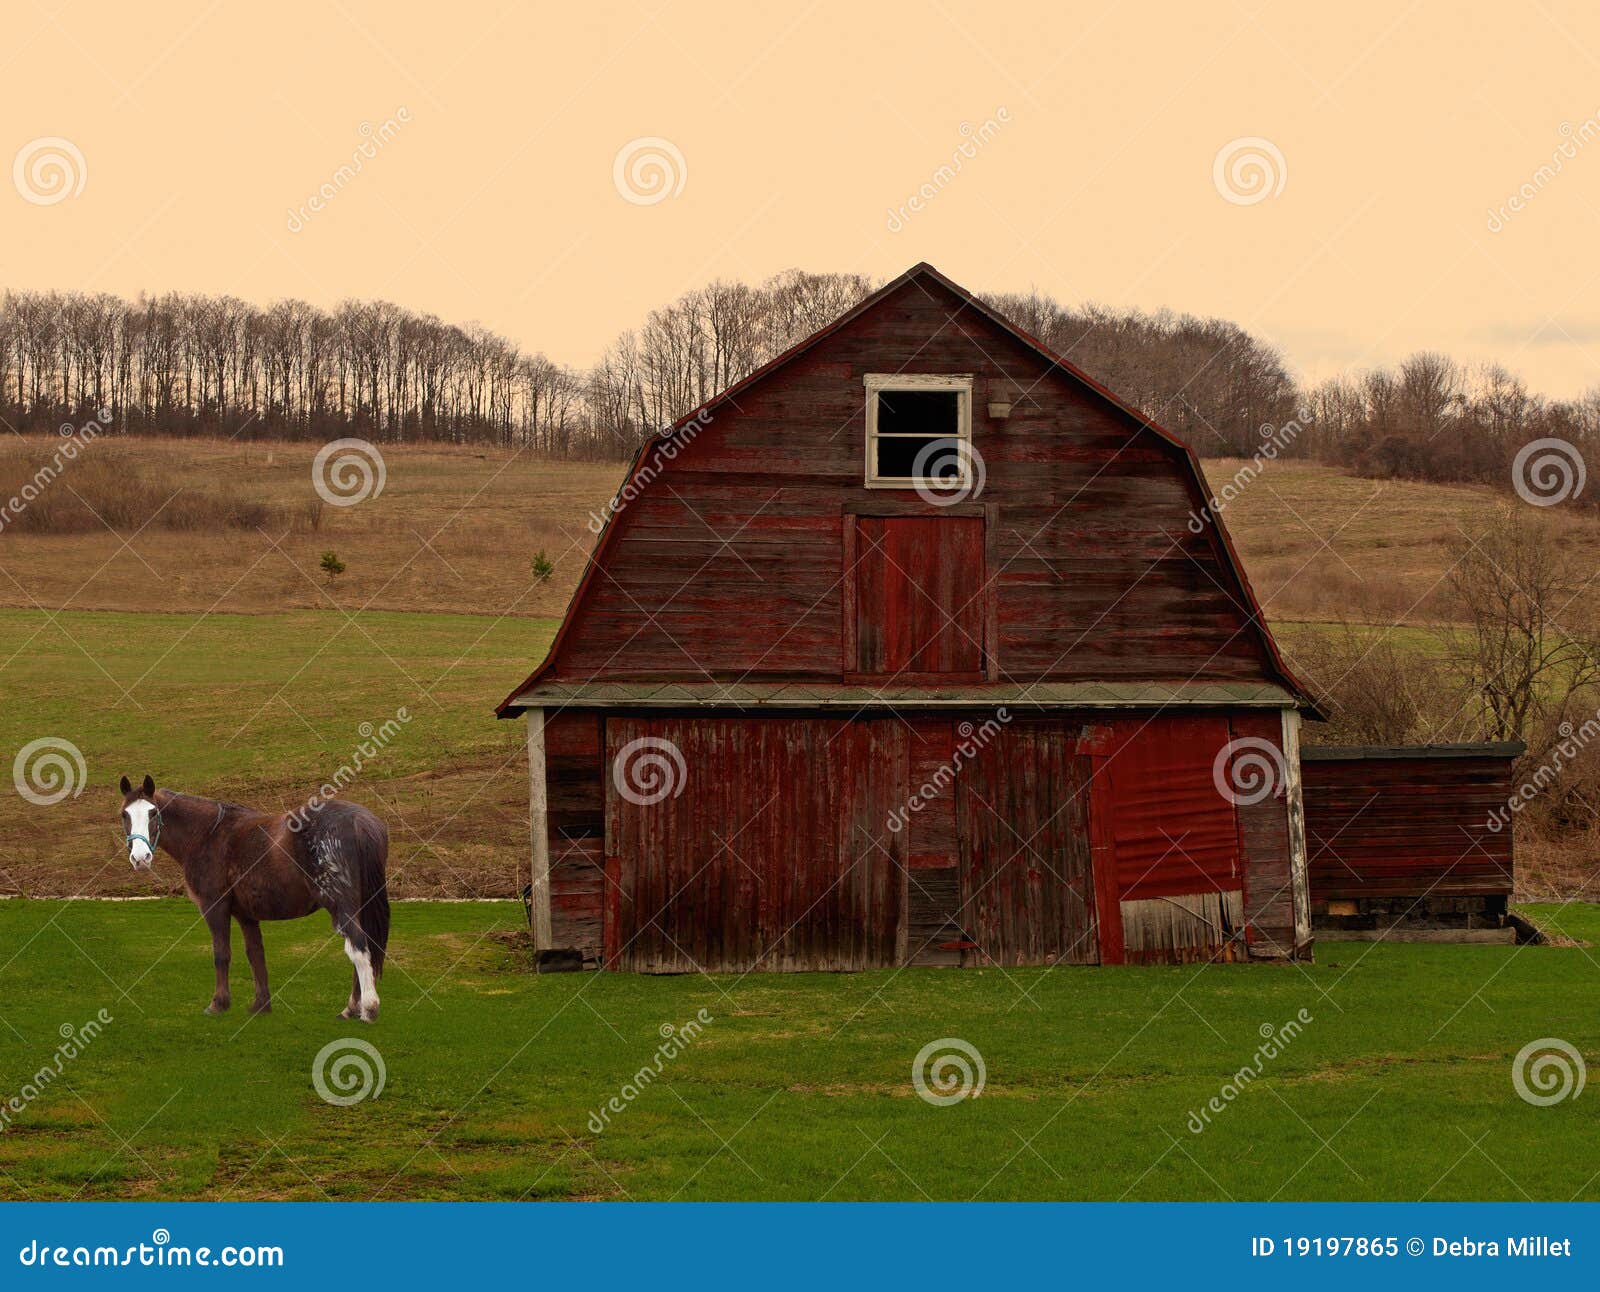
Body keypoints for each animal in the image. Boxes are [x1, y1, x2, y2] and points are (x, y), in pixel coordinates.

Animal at [118, 774, 390, 1022]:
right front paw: (261, 1005)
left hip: (340, 905)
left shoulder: (214, 907)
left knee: (357, 946)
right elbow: (255, 954)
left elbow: (221, 954)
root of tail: (359, 821)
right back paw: (352, 1008)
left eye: (153, 813)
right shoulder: (246, 915)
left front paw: (218, 1004)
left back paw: (368, 1009)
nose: (140, 858)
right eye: (124, 815)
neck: (208, 834)